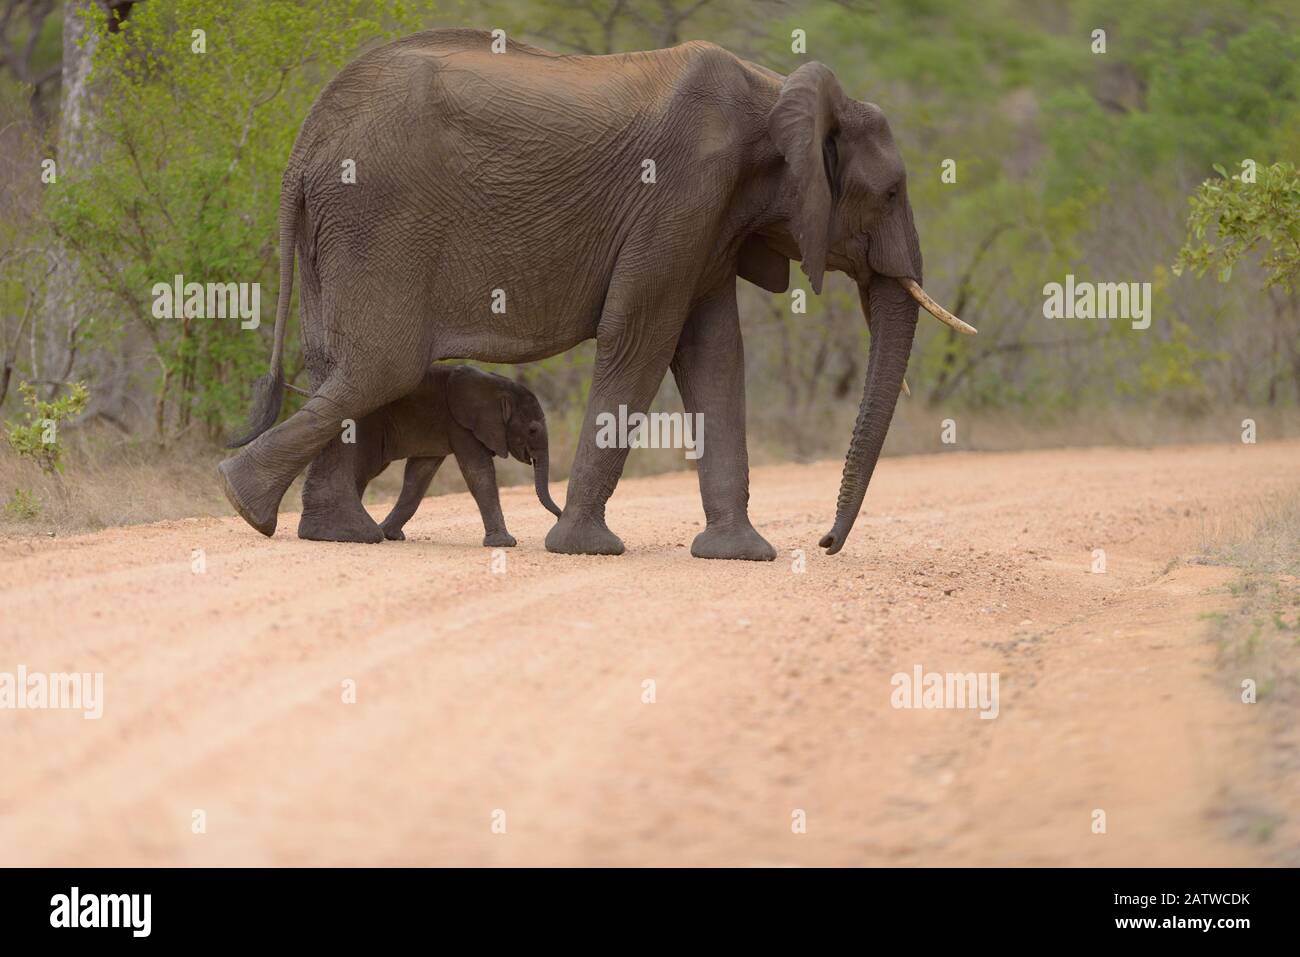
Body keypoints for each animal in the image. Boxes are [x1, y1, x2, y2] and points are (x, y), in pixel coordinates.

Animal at [294, 364, 562, 546]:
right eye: (532, 429)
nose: (560, 516)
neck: (497, 386)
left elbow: (419, 476)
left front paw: (391, 535)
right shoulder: (461, 424)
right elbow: (478, 472)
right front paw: (505, 544)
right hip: (367, 426)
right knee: (363, 471)